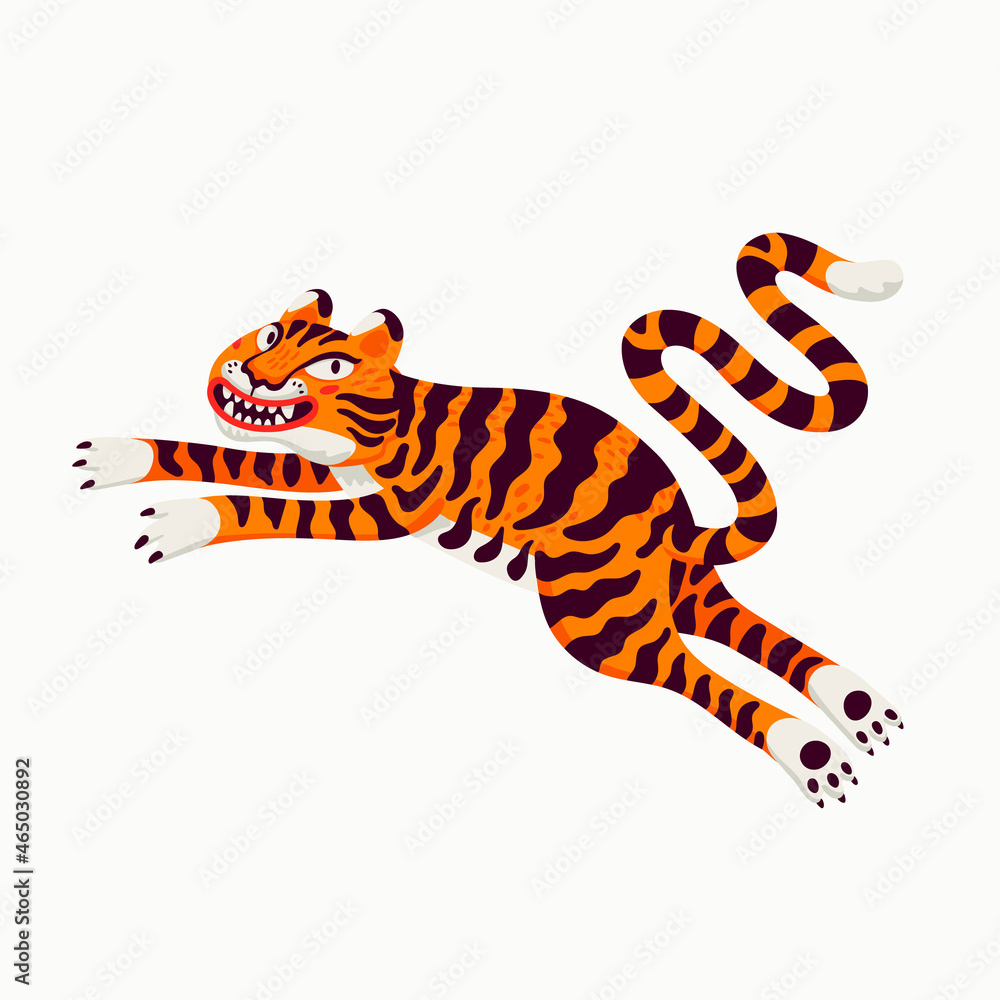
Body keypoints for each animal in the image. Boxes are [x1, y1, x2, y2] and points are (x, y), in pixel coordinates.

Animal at [74, 232, 904, 806]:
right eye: (273, 336)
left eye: (329, 367)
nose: (251, 373)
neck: (373, 424)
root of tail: (681, 522)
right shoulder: (327, 466)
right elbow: (221, 454)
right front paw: (117, 458)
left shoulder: (381, 509)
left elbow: (259, 502)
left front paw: (179, 521)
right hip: (676, 594)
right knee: (761, 638)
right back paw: (859, 709)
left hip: (596, 618)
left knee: (694, 673)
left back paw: (811, 754)